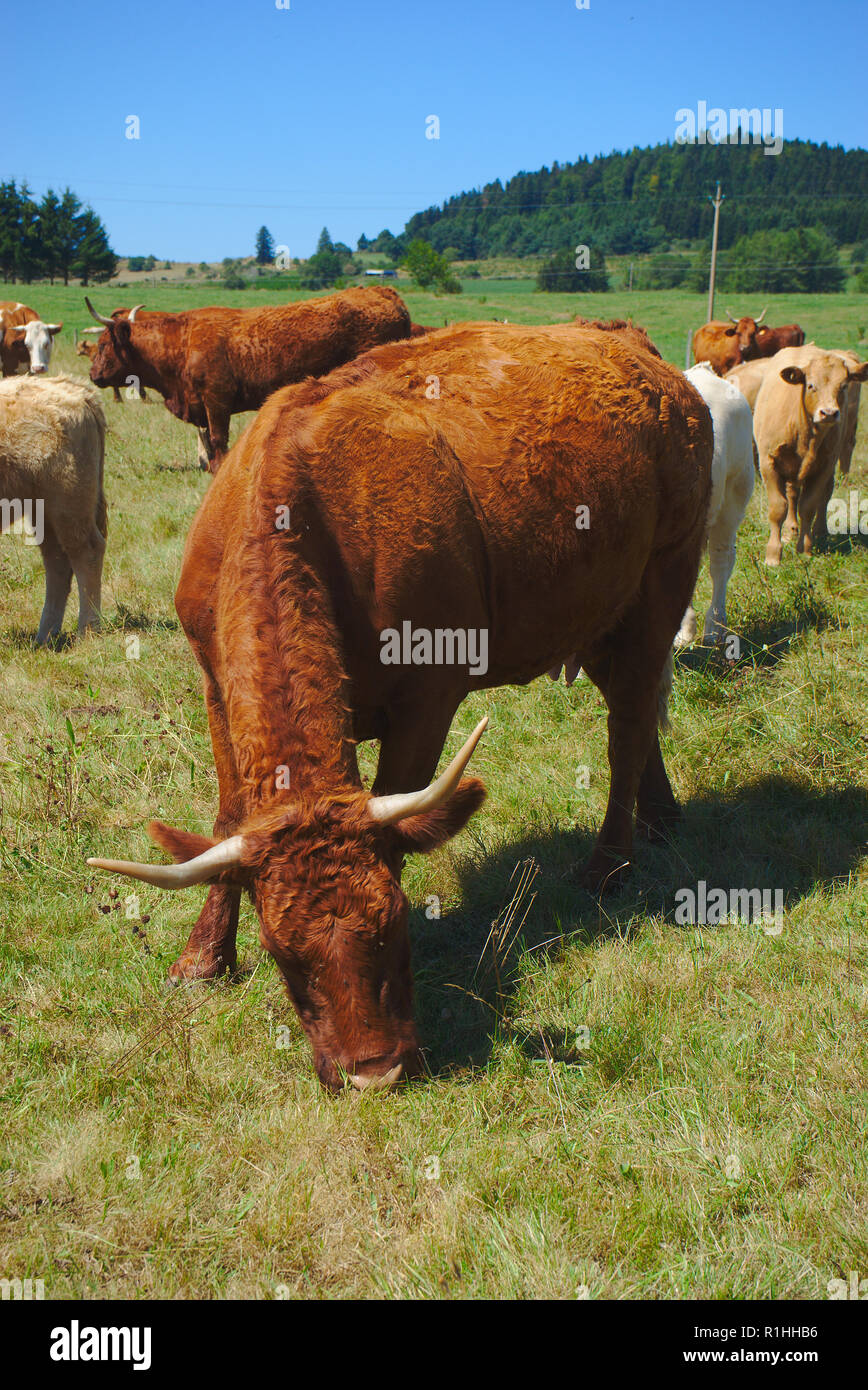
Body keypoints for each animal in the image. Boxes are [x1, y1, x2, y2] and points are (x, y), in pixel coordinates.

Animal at [0, 375, 106, 643]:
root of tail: (77, 391)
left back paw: (87, 630)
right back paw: (46, 636)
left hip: (68, 505)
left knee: (86, 552)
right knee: (57, 561)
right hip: (44, 512)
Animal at [85, 284, 415, 472]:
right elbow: (207, 439)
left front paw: (219, 468)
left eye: (103, 344)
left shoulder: (216, 400)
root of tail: (381, 292)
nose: (93, 374)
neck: (183, 343)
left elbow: (218, 438)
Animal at [87, 320, 713, 1092]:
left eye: (394, 926)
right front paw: (203, 957)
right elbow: (229, 819)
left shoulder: (428, 698)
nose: (375, 1073)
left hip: (661, 585)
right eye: (283, 954)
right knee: (639, 709)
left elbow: (403, 804)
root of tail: (630, 343)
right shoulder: (213, 685)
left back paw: (609, 863)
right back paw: (661, 816)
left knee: (628, 720)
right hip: (598, 610)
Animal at [753, 345, 868, 565]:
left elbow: (808, 506)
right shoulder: (768, 463)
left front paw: (805, 549)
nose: (829, 413)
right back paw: (790, 531)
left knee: (825, 494)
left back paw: (819, 532)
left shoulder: (823, 467)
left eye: (843, 386)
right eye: (811, 385)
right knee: (791, 495)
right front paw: (773, 554)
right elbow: (778, 508)